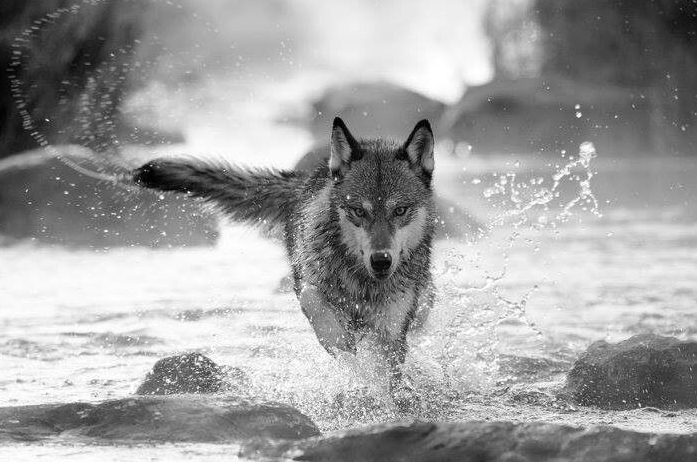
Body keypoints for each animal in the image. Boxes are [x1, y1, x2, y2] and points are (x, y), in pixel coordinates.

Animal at [133, 117, 436, 403]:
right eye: (359, 211)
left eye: (400, 210)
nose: (381, 260)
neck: (363, 284)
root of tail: (307, 180)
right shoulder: (308, 284)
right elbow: (319, 310)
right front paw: (347, 355)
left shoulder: (391, 330)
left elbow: (391, 367)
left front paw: (400, 390)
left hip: (423, 301)